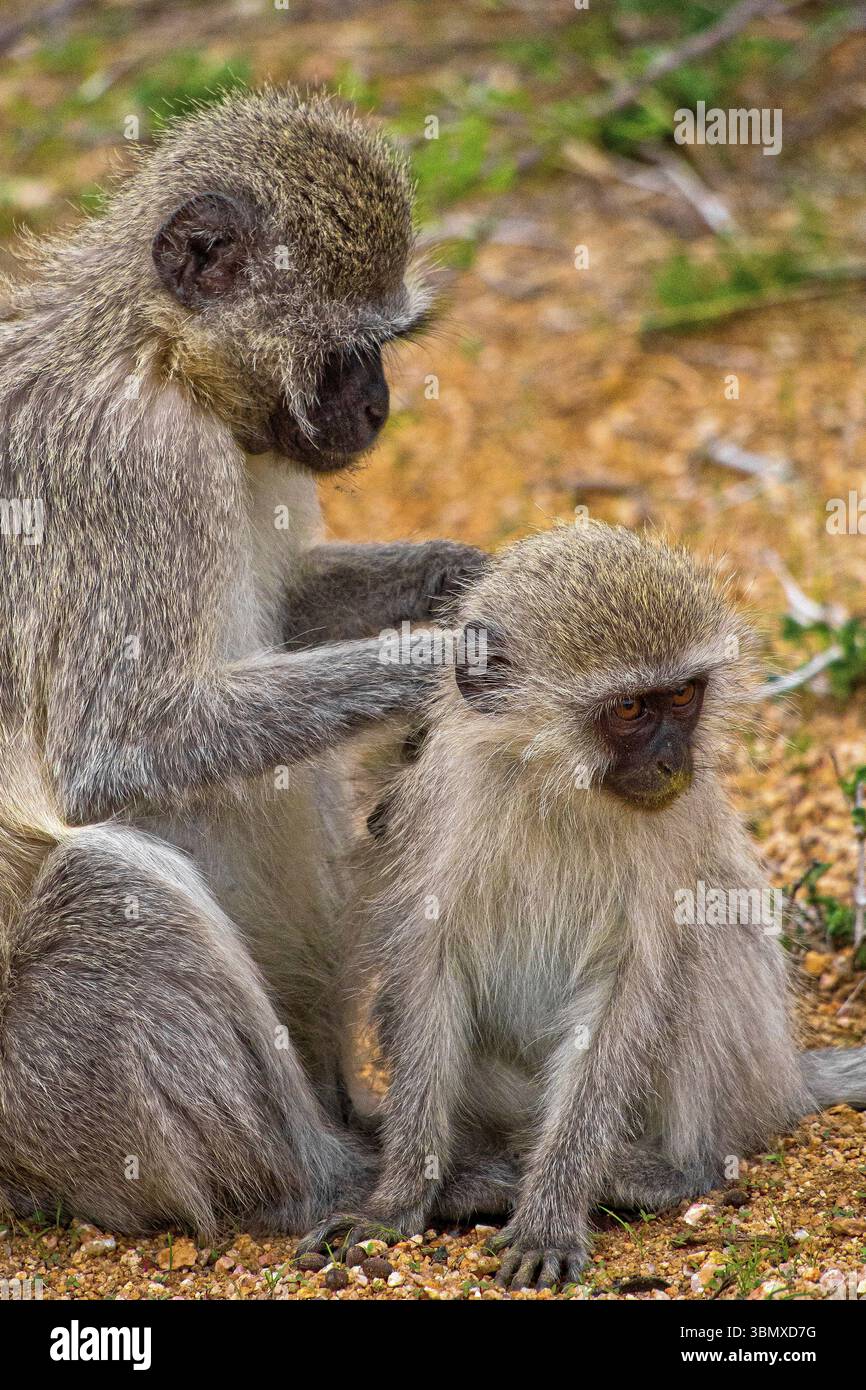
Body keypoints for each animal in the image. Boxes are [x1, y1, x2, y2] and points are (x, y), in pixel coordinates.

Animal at [0, 87, 486, 1237]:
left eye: (391, 343)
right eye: (347, 349)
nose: (377, 406)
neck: (156, 355)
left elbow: (282, 611)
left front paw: (460, 576)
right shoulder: (130, 469)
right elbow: (113, 748)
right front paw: (453, 658)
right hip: (41, 1101)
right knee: (111, 881)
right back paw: (332, 1181)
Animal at [301, 521, 866, 1289]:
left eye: (682, 696)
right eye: (630, 709)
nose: (672, 763)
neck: (558, 791)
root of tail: (785, 1075)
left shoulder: (670, 829)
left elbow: (631, 989)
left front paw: (550, 1213)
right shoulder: (441, 815)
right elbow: (425, 972)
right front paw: (398, 1199)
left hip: (745, 1073)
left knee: (708, 944)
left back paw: (672, 1171)